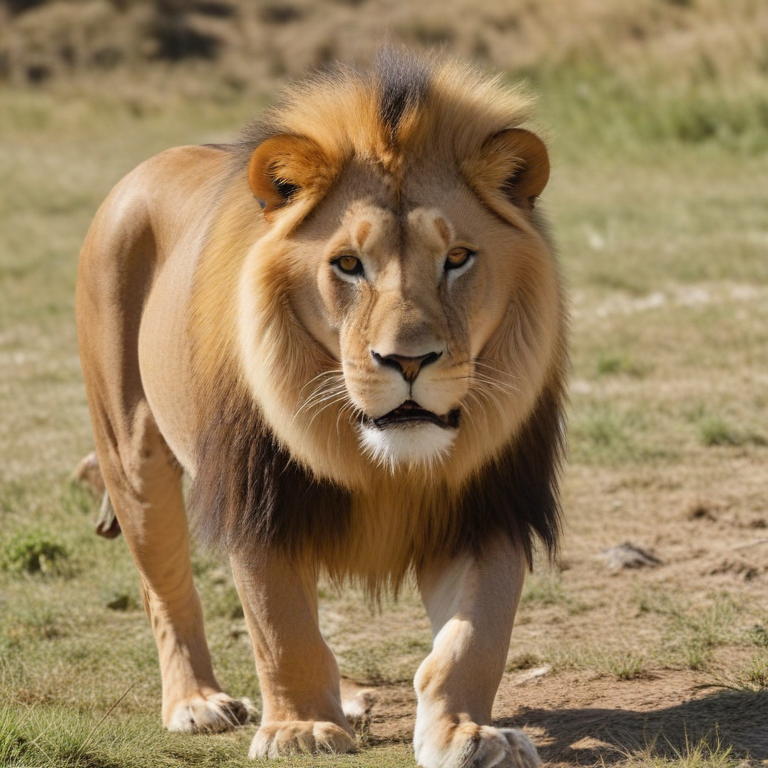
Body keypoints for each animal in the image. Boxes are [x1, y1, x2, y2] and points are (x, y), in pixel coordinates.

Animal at [75, 49, 566, 767]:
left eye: (456, 258)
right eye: (348, 264)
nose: (408, 361)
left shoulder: (489, 503)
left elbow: (474, 638)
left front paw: (466, 733)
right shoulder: (265, 499)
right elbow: (281, 627)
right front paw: (300, 728)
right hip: (131, 450)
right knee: (164, 586)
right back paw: (197, 702)